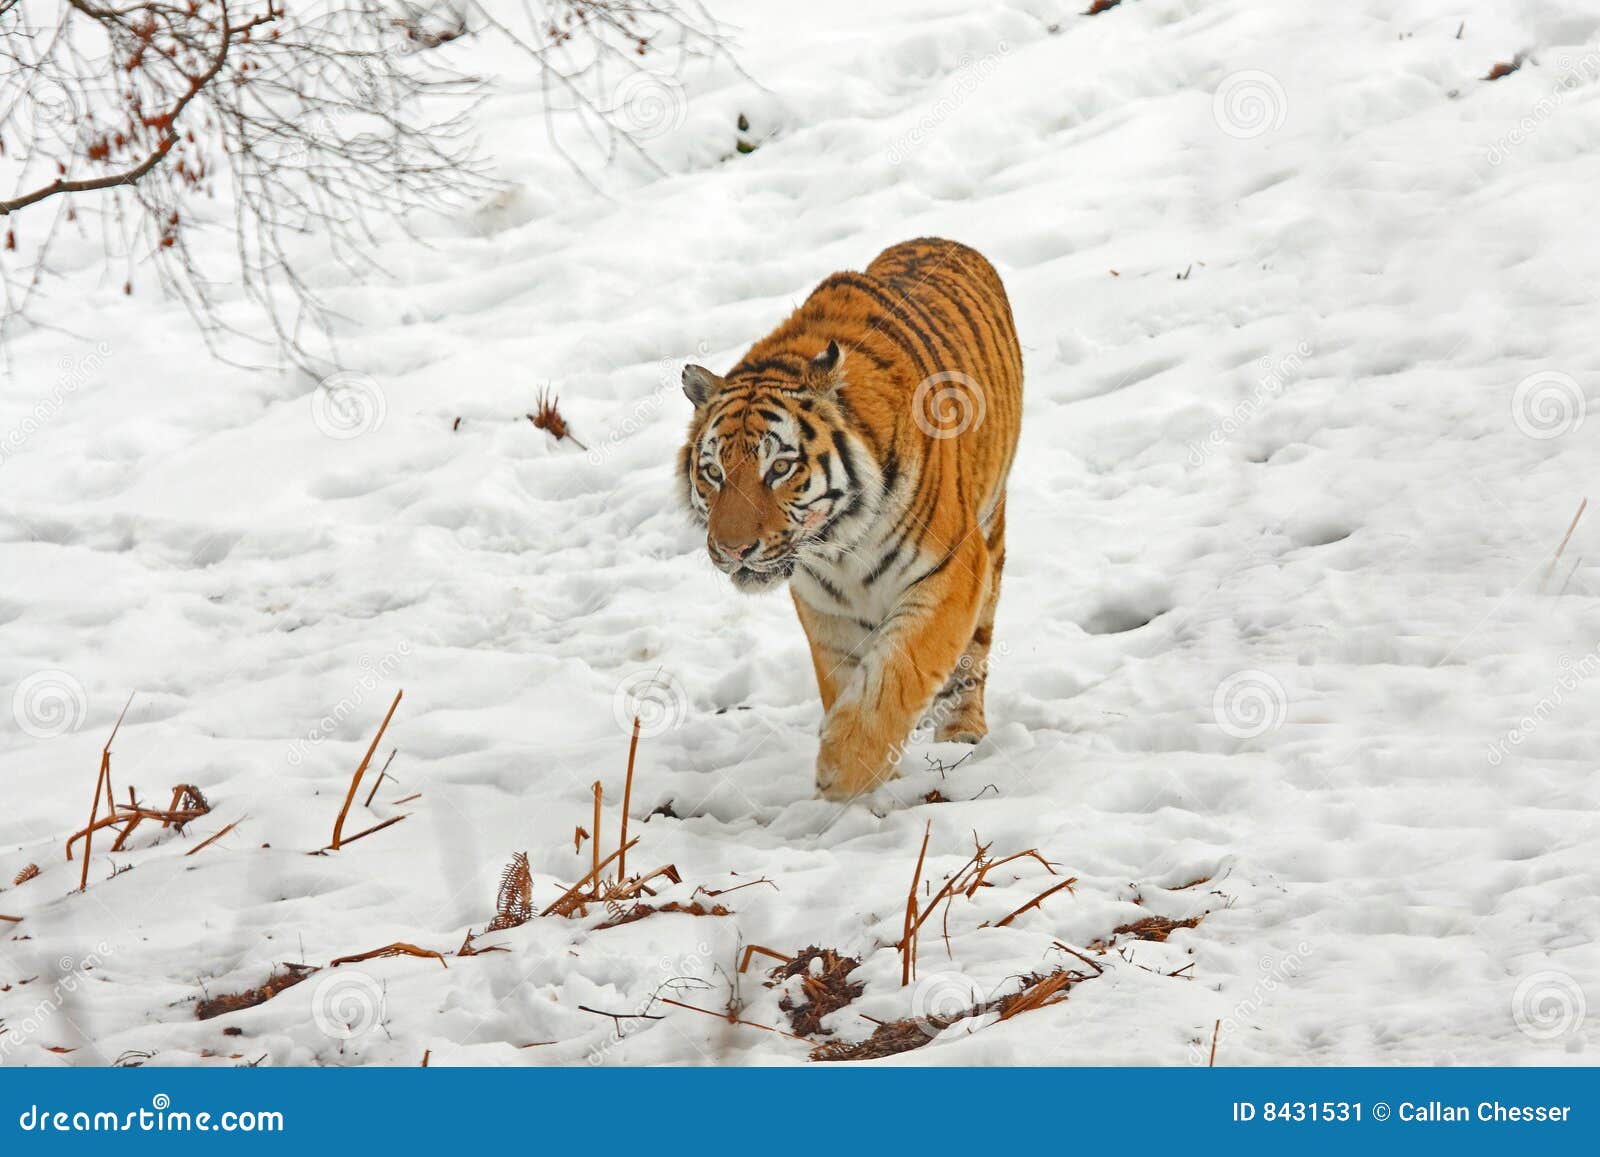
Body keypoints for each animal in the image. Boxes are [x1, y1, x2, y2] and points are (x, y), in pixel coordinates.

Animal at [678, 237, 1023, 801]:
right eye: (713, 472)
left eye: (779, 468)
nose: (733, 550)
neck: (839, 544)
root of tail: (938, 239)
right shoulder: (825, 606)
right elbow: (849, 683)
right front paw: (872, 779)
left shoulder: (950, 568)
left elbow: (900, 670)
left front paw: (843, 768)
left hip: (989, 538)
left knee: (973, 654)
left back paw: (961, 733)